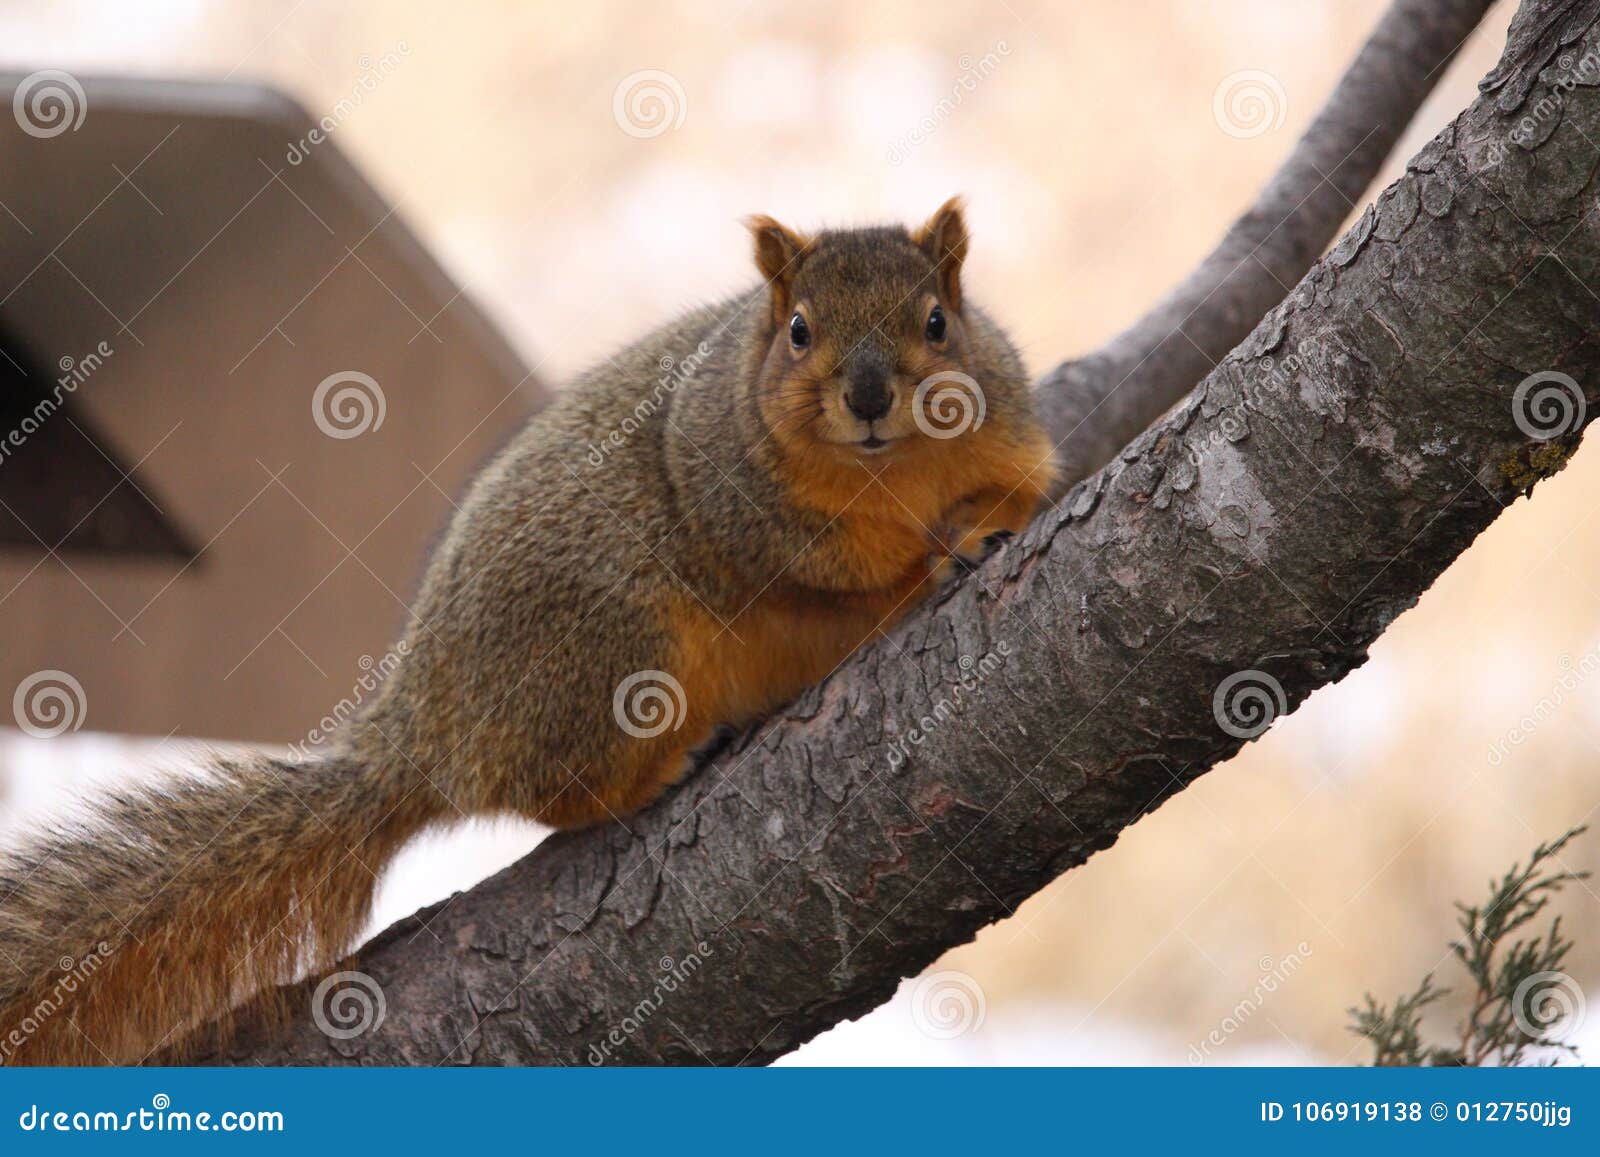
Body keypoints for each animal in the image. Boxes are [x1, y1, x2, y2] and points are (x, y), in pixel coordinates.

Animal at [0, 197, 1056, 1064]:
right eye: (798, 331)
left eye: (939, 321)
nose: (871, 398)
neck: (894, 471)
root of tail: (423, 730)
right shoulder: (732, 495)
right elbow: (830, 572)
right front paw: (922, 567)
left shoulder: (1009, 435)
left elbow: (1019, 486)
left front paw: (976, 529)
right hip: (616, 647)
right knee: (556, 790)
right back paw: (663, 766)